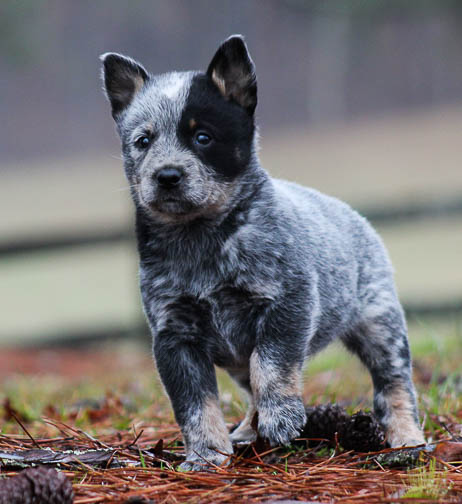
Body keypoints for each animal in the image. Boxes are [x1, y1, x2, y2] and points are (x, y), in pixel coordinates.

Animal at [102, 34, 426, 468]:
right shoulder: (174, 334)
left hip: (380, 322)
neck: (203, 240)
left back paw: (406, 439)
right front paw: (205, 455)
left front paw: (281, 418)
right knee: (248, 384)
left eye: (203, 137)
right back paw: (245, 431)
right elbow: (194, 403)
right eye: (143, 140)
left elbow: (271, 365)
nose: (167, 175)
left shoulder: (287, 303)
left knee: (394, 383)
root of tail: (352, 214)